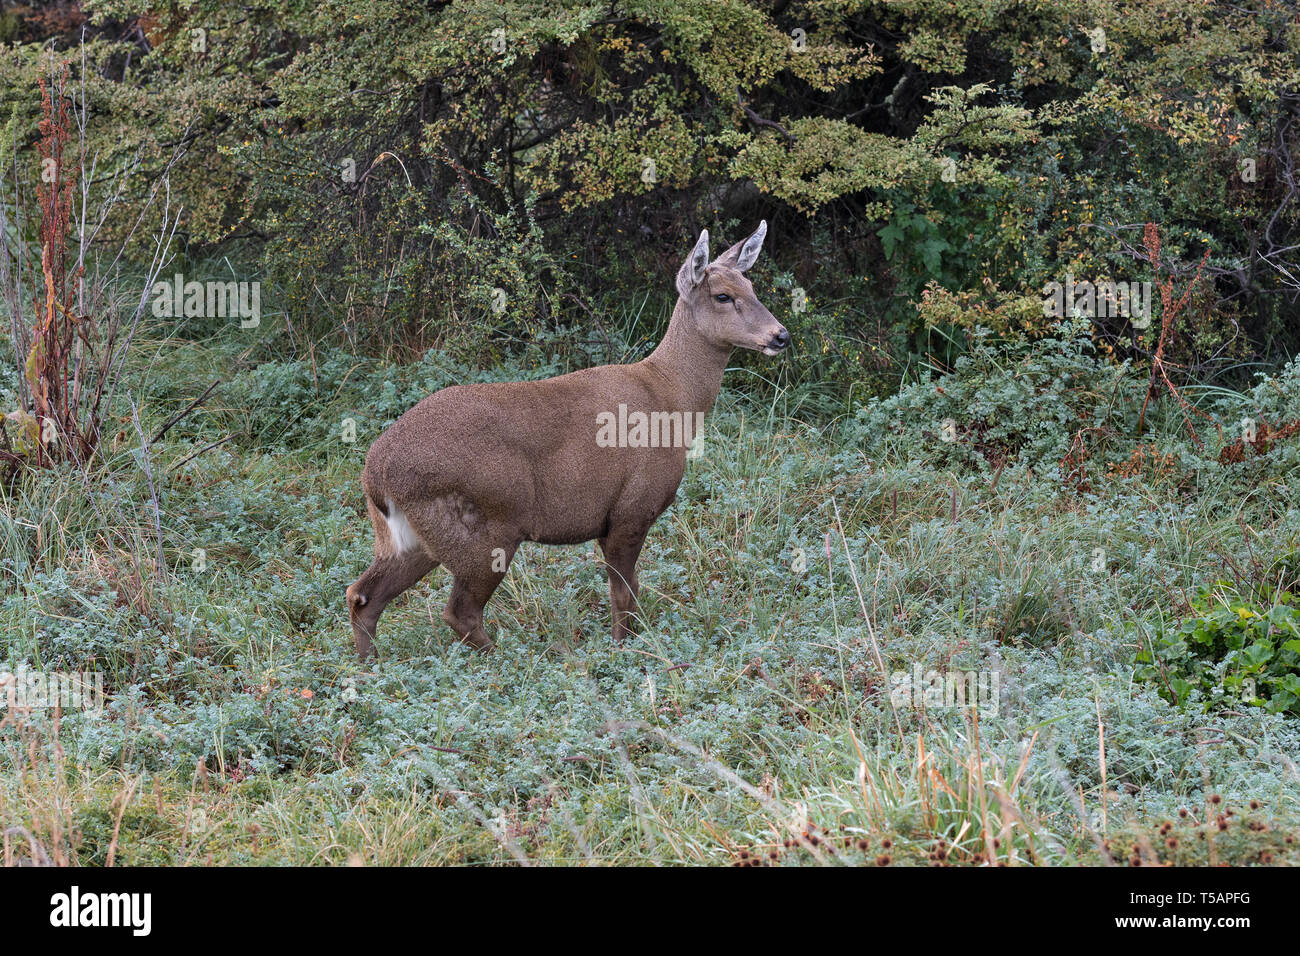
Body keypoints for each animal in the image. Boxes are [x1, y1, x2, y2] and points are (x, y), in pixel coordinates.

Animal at [346, 221, 787, 659]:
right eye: (723, 295)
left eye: (751, 288)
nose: (780, 335)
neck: (671, 400)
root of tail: (375, 475)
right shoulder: (630, 509)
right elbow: (624, 593)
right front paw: (622, 651)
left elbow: (629, 590)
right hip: (486, 526)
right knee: (459, 611)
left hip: (412, 539)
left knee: (362, 595)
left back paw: (370, 664)